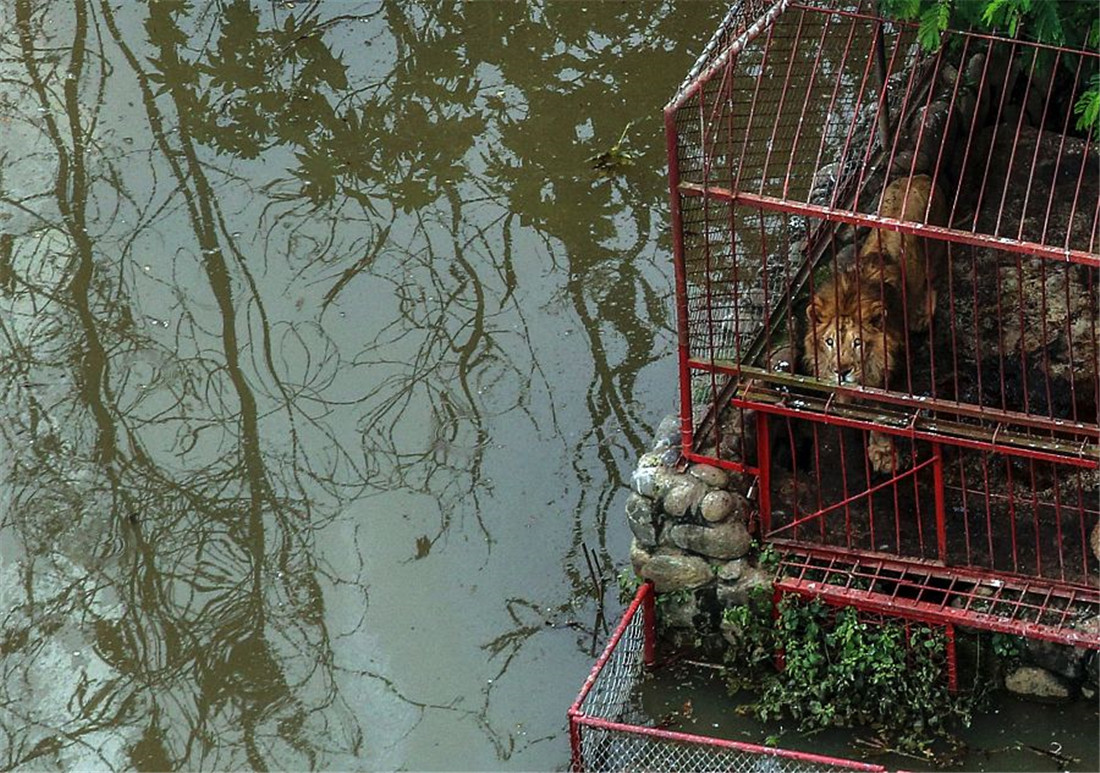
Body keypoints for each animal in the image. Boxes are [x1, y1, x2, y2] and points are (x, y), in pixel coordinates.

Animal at [802, 175, 948, 473]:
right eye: (829, 341)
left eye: (858, 342)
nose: (842, 371)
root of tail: (920, 177)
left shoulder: (886, 373)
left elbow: (879, 414)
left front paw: (882, 454)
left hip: (933, 257)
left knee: (932, 286)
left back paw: (920, 317)